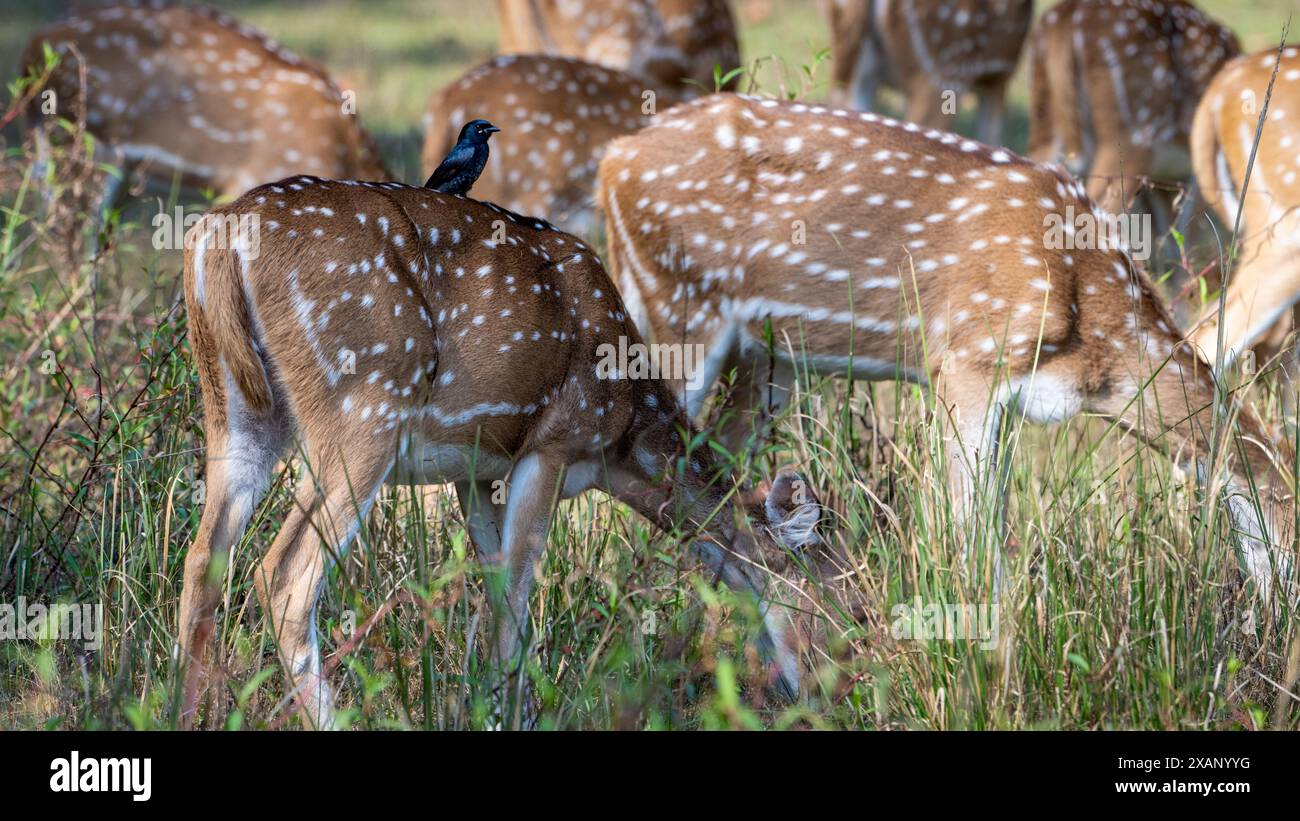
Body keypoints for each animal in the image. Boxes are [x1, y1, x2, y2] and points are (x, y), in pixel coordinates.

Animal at [176, 175, 825, 729]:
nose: (829, 690)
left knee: (202, 561)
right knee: (283, 576)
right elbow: (516, 600)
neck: (622, 437)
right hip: (366, 404)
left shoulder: (474, 467)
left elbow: (494, 594)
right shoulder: (554, 443)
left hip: (237, 412)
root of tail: (219, 235)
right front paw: (506, 713)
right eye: (833, 589)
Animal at [596, 92, 1296, 602]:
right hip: (673, 304)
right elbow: (970, 523)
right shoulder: (968, 357)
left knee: (716, 460)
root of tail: (611, 161)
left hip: (771, 358)